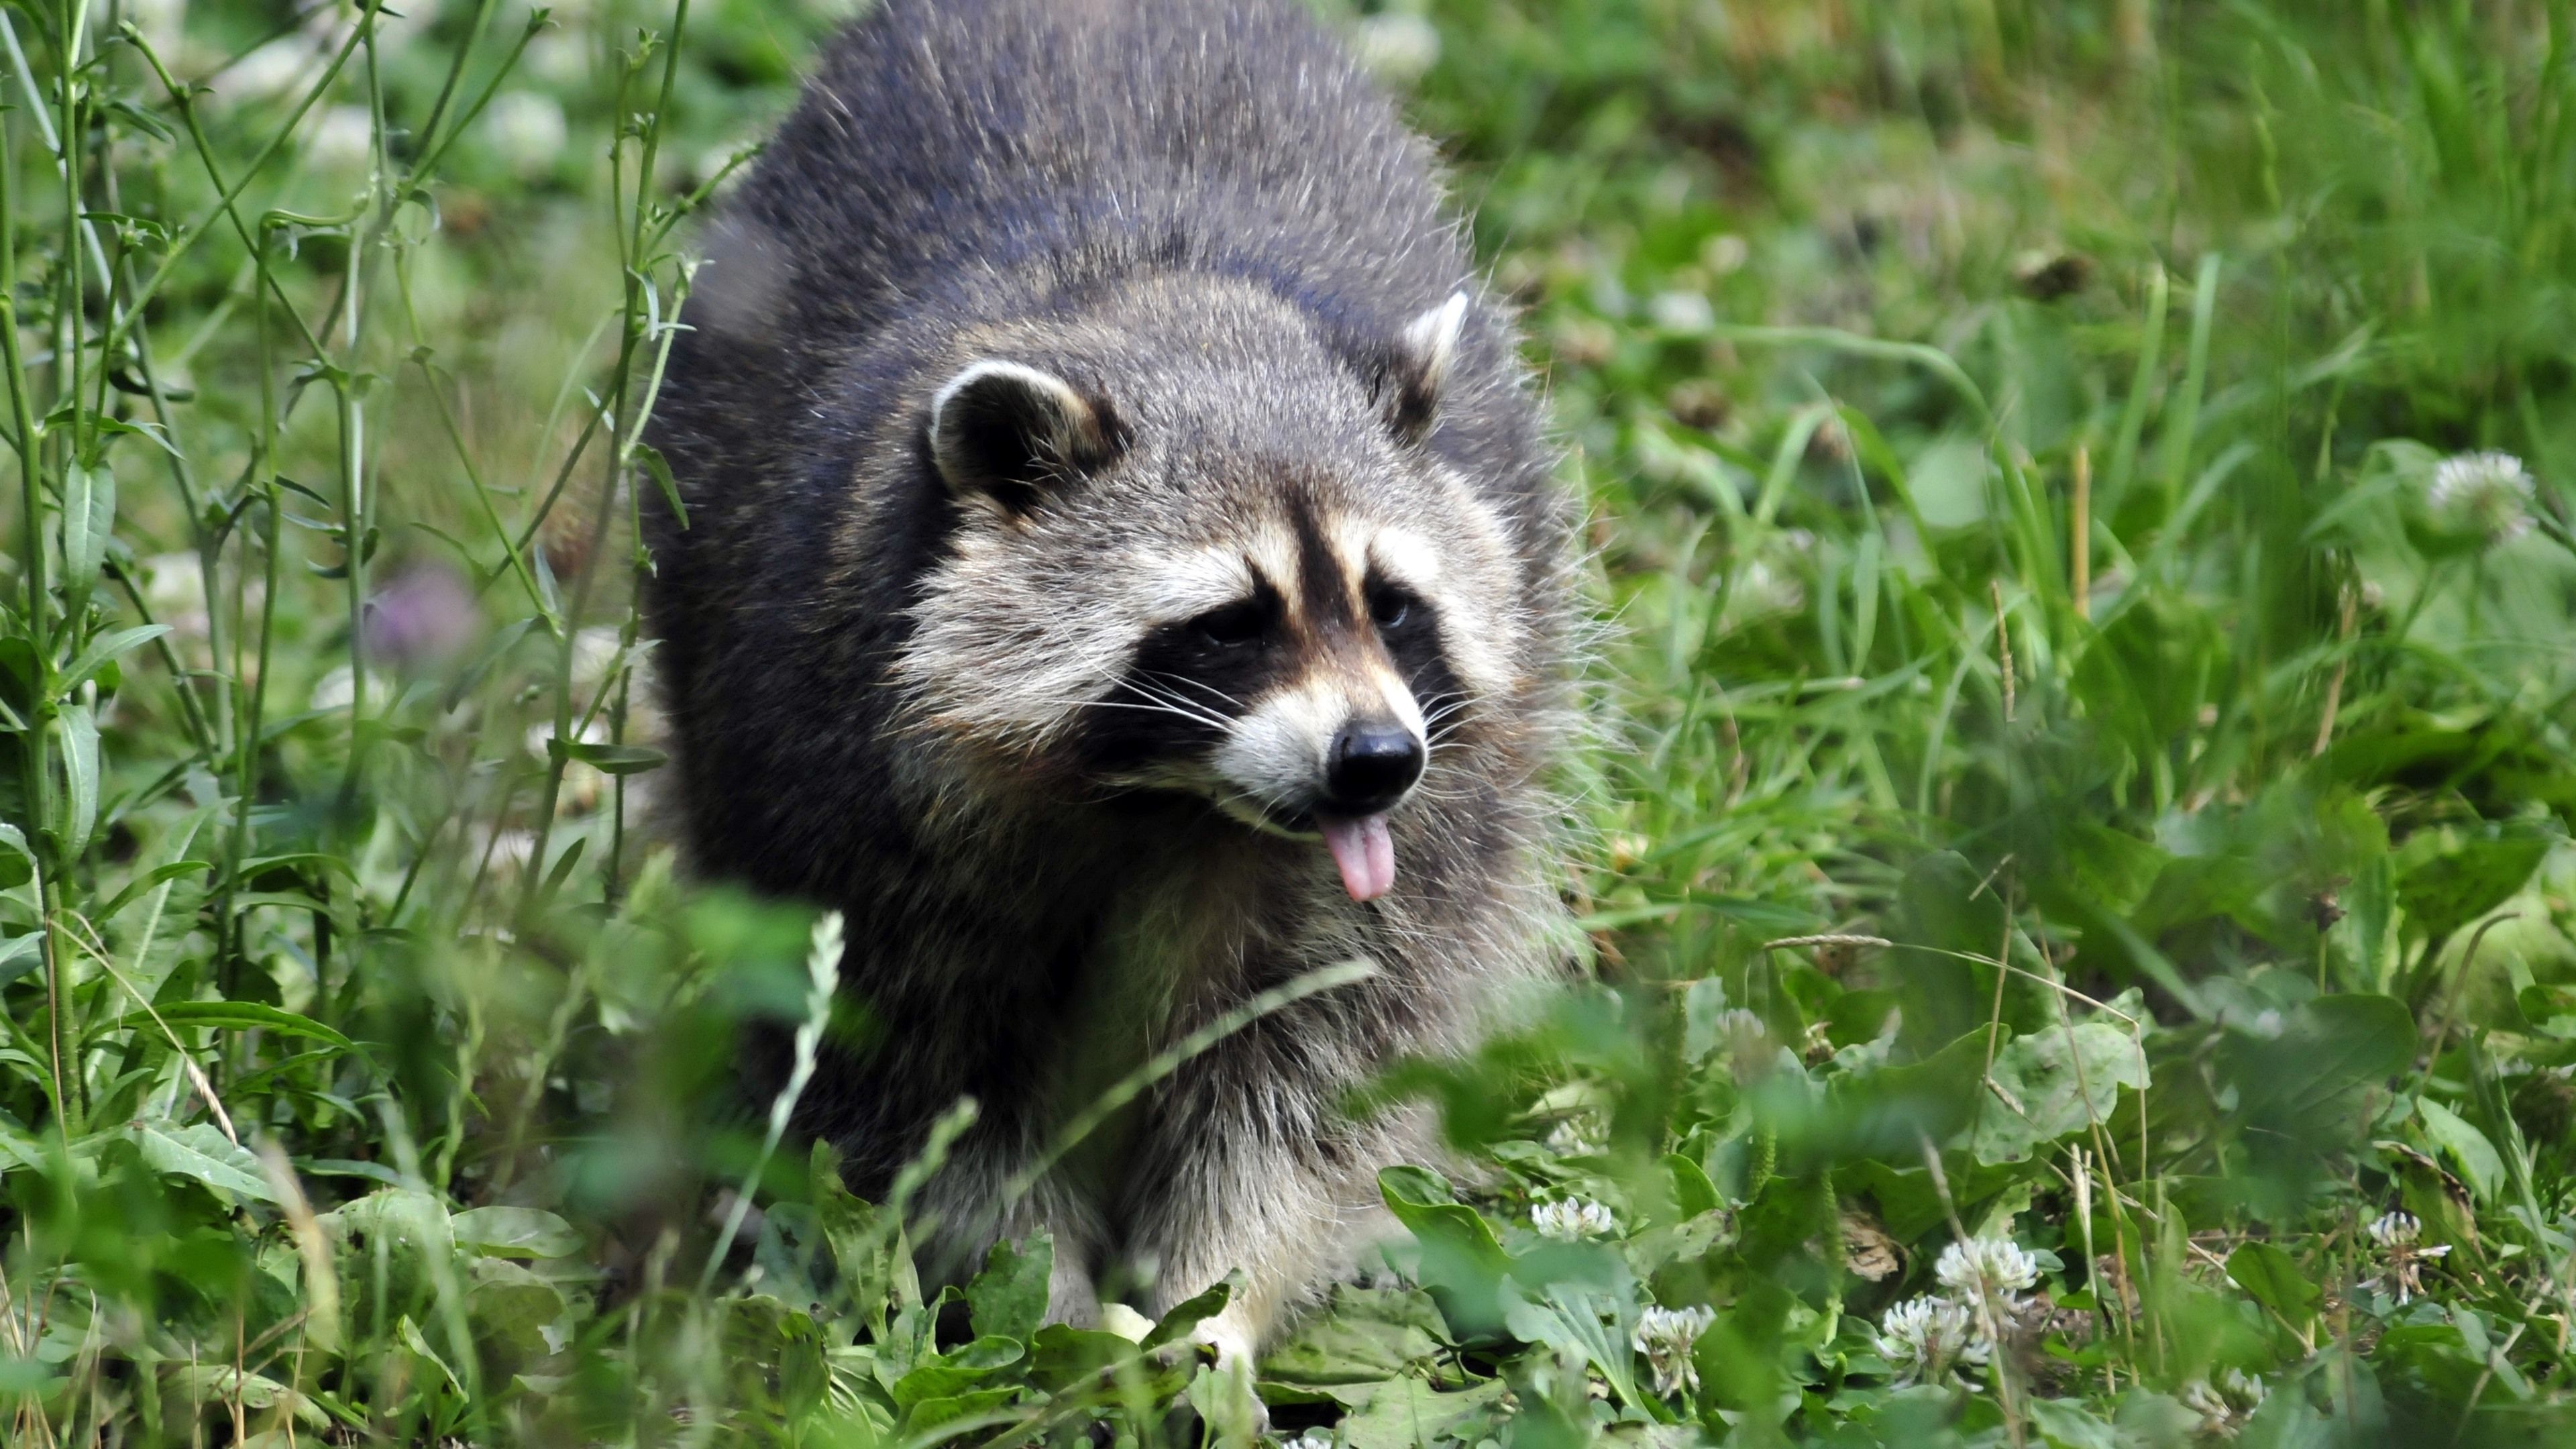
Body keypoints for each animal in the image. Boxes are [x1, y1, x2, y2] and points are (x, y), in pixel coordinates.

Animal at [643, 0, 1578, 1364]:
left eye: (1392, 604)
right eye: (1231, 625)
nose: (1376, 763)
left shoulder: (1438, 838)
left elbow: (1317, 1078)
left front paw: (1216, 1301)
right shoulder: (838, 783)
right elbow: (928, 1087)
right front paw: (1056, 1306)